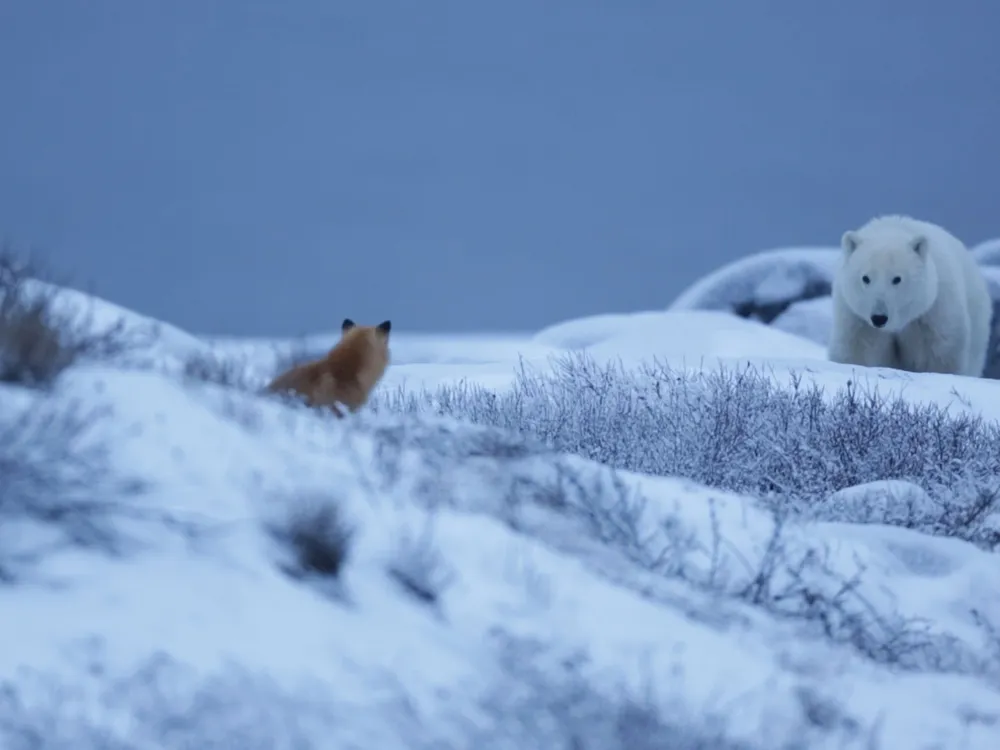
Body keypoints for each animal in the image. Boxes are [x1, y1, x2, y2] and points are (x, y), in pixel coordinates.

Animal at [828, 214, 992, 377]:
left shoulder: (930, 316)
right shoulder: (858, 321)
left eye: (897, 279)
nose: (879, 318)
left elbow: (940, 357)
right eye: (865, 278)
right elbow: (858, 352)